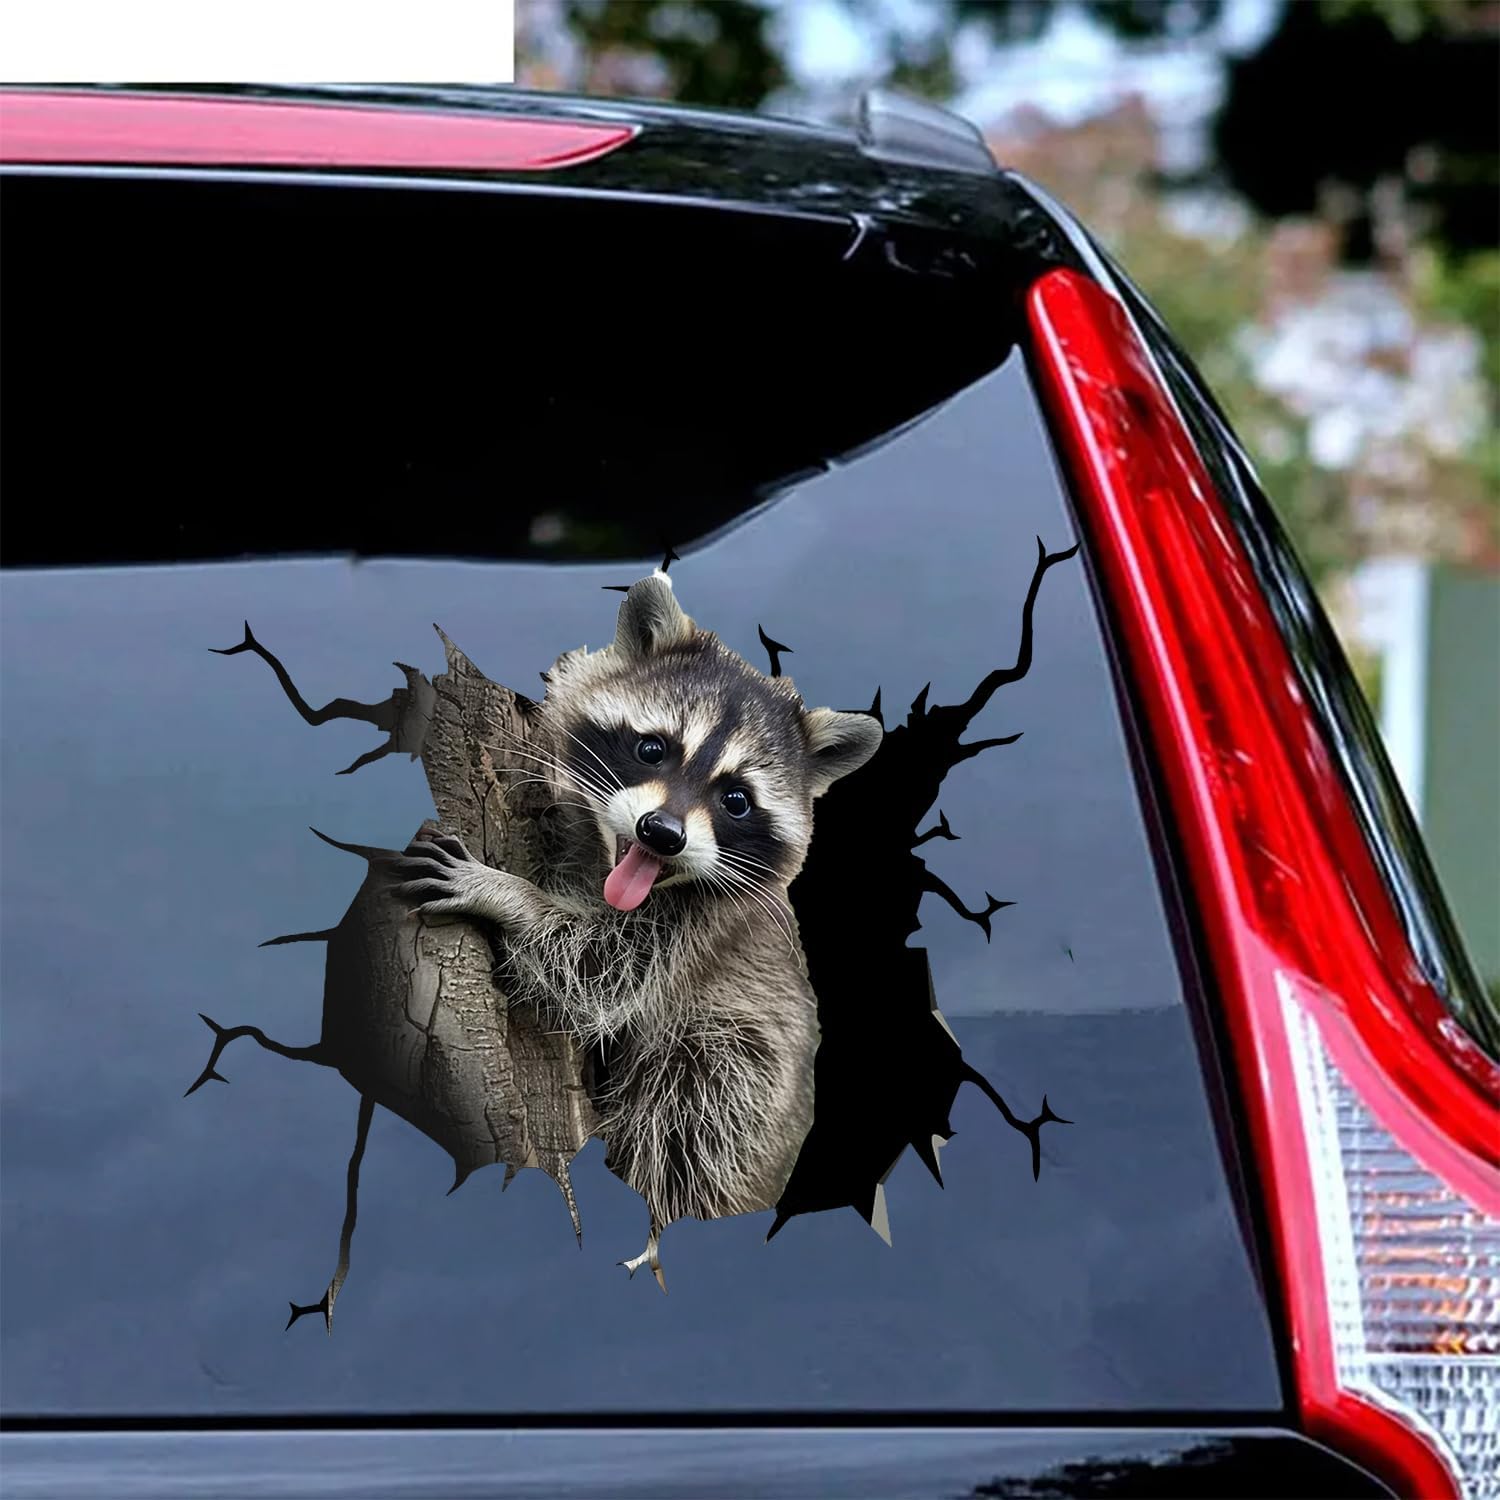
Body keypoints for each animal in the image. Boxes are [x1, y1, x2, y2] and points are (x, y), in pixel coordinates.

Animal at [390, 571, 882, 1284]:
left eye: (737, 799)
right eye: (653, 748)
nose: (662, 833)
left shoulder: (697, 935)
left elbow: (600, 970)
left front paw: (507, 896)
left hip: (742, 1080)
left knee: (687, 1121)